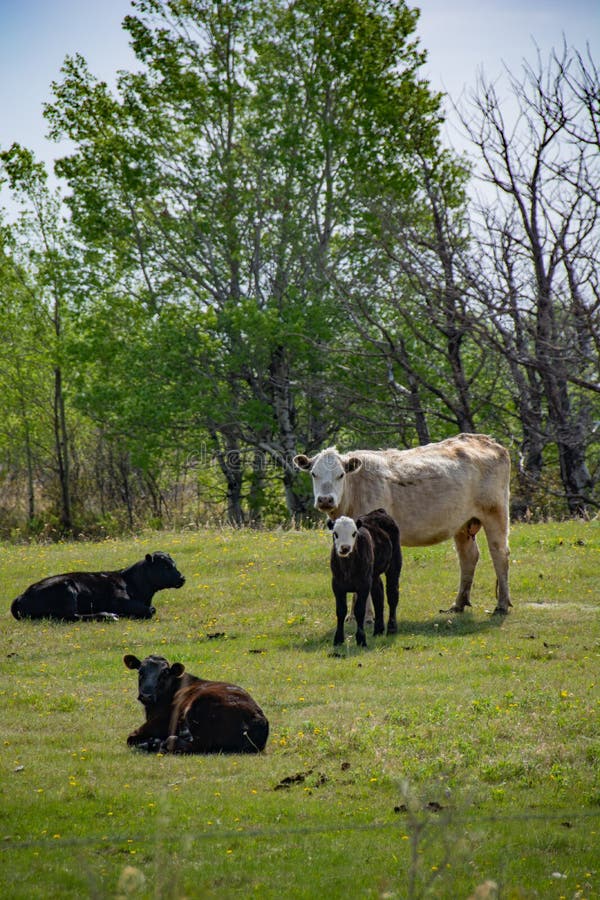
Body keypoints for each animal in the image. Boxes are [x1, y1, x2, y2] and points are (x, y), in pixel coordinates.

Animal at [10, 552, 185, 621]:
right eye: (165, 566)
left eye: (174, 564)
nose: (182, 578)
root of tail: (22, 595)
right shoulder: (118, 600)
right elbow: (150, 610)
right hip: (67, 589)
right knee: (72, 616)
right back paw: (108, 616)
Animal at [123, 654, 269, 754]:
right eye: (140, 671)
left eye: (164, 674)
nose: (146, 695)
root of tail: (258, 718)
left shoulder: (161, 721)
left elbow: (131, 738)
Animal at [294, 433, 511, 615]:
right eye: (313, 474)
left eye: (341, 475)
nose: (325, 499)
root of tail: (487, 440)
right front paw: (352, 617)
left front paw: (366, 616)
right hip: (462, 523)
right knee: (468, 557)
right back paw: (458, 604)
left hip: (496, 512)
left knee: (499, 553)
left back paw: (501, 605)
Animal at [328, 508, 402, 647]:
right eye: (335, 533)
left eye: (354, 533)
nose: (345, 548)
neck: (347, 568)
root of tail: (378, 511)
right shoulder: (336, 585)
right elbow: (340, 610)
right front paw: (338, 639)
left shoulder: (363, 585)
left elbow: (359, 610)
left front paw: (361, 639)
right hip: (373, 575)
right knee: (378, 595)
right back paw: (378, 630)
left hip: (395, 561)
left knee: (392, 594)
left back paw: (392, 628)